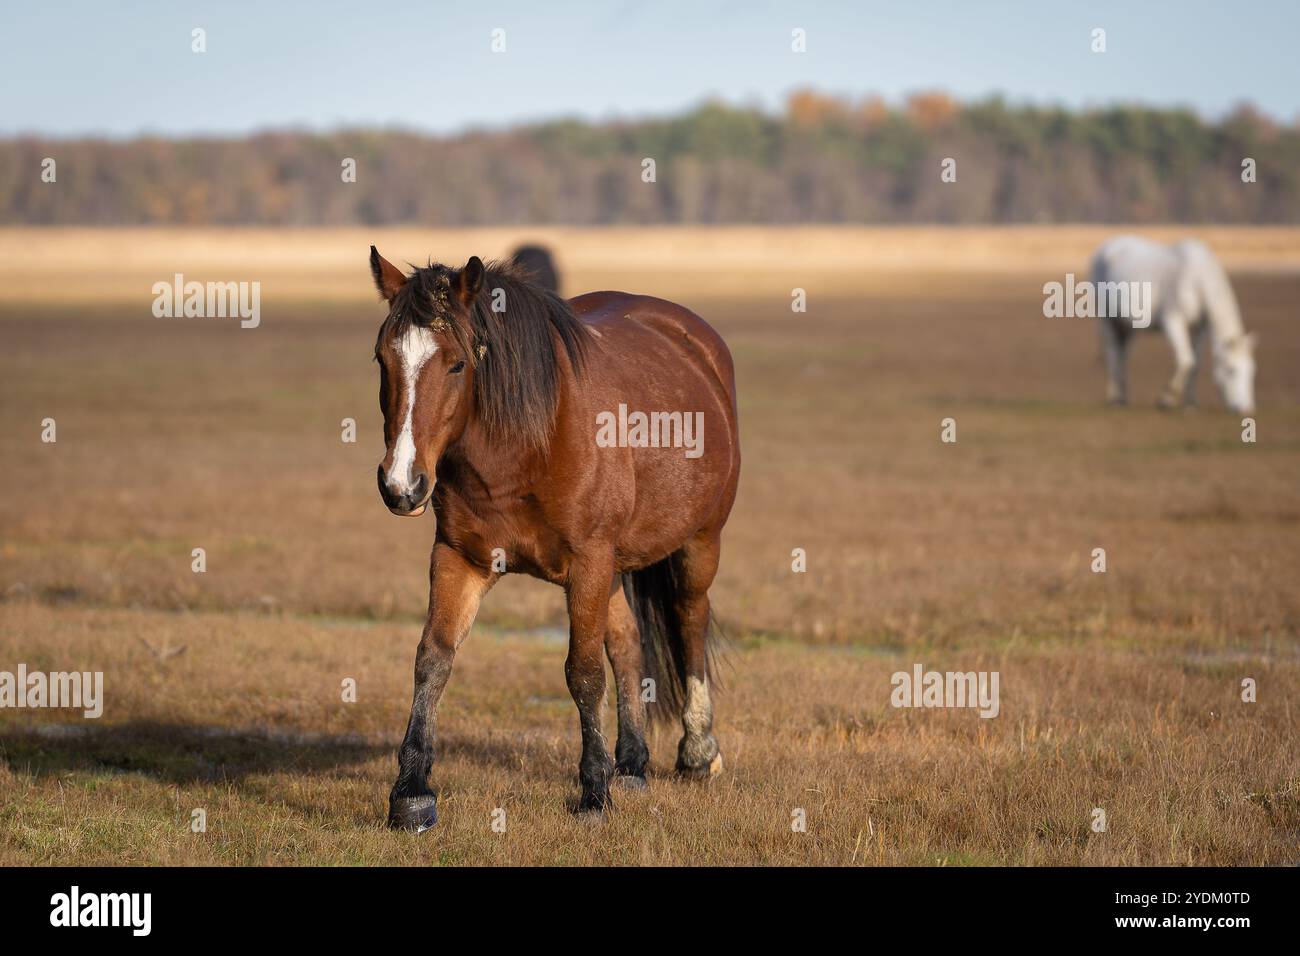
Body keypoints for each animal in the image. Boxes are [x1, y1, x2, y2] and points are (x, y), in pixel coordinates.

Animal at [368, 247, 740, 830]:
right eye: (383, 360)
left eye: (456, 364)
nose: (400, 484)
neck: (528, 442)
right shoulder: (459, 558)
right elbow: (433, 658)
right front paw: (412, 793)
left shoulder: (587, 563)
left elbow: (583, 673)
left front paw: (592, 794)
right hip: (617, 566)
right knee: (628, 642)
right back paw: (631, 765)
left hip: (698, 542)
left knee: (689, 620)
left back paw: (698, 752)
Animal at [1092, 236, 1257, 414]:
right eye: (1232, 370)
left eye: (1252, 371)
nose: (1246, 409)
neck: (1195, 280)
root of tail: (1105, 248)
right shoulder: (1173, 322)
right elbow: (1186, 360)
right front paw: (1167, 399)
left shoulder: (1199, 328)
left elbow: (1196, 364)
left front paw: (1191, 403)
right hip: (1107, 320)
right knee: (1112, 352)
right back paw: (1114, 398)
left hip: (1126, 326)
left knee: (1122, 355)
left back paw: (1122, 397)